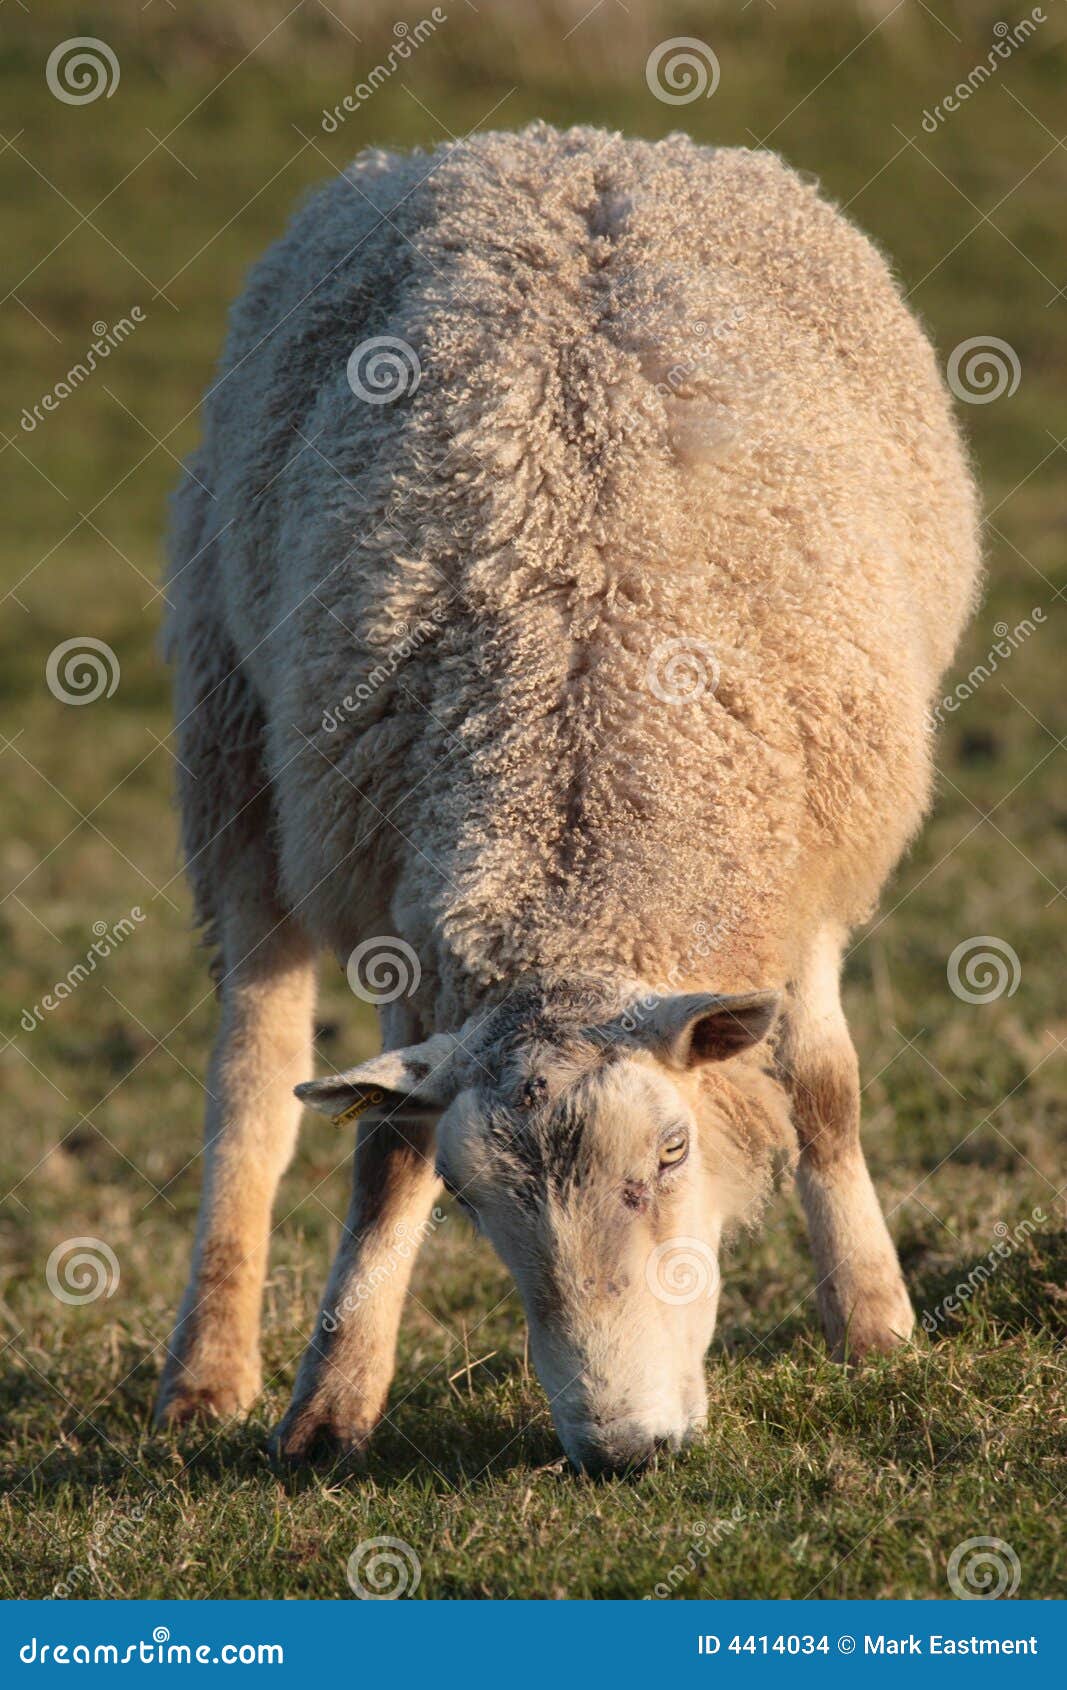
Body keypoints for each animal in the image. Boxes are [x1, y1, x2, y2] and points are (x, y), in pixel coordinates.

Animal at [155, 123, 980, 1473]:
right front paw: (330, 1402)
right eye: (479, 1199)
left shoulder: (797, 871)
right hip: (230, 742)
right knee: (250, 1087)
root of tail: (567, 143)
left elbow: (821, 1089)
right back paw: (205, 1371)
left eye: (670, 1153)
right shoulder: (411, 912)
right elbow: (381, 1156)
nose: (622, 1447)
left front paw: (876, 1324)